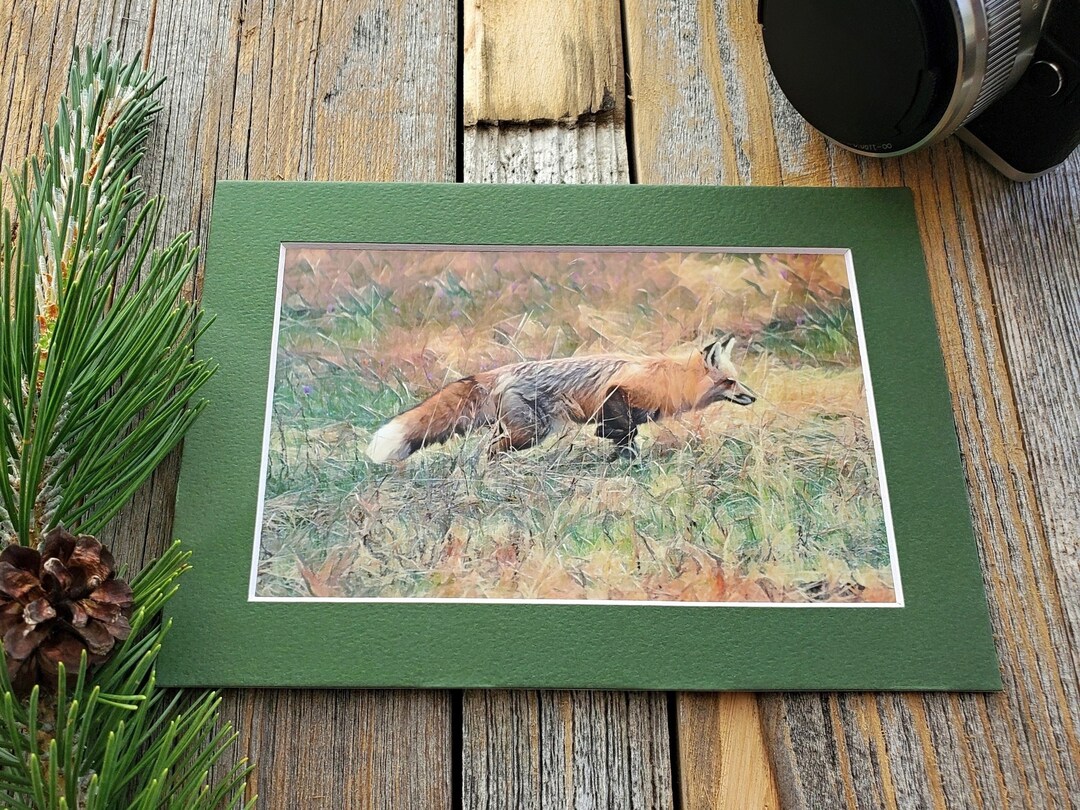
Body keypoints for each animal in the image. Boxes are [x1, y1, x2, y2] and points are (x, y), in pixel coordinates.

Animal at [365, 336, 755, 463]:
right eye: (731, 381)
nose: (753, 396)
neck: (670, 379)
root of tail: (503, 371)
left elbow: (628, 439)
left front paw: (623, 459)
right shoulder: (619, 393)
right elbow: (620, 430)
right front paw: (617, 451)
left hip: (519, 431)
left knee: (487, 446)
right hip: (532, 434)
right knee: (490, 450)